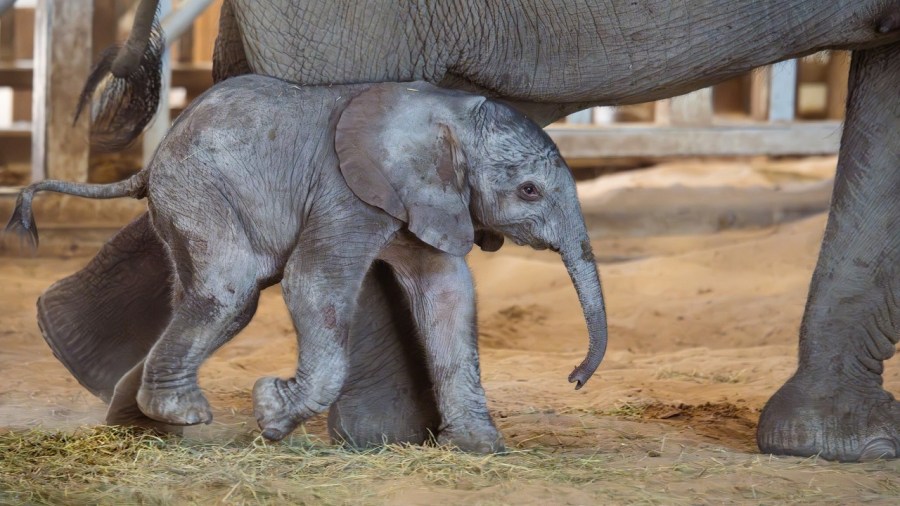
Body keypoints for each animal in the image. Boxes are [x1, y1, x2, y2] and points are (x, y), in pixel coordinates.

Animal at [7, 76, 609, 453]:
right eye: (529, 190)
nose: (575, 379)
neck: (449, 111)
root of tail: (152, 160)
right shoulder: (347, 191)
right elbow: (313, 284)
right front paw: (270, 413)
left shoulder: (423, 198)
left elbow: (448, 295)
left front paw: (482, 448)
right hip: (198, 189)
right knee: (232, 290)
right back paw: (181, 414)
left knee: (208, 297)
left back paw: (148, 423)